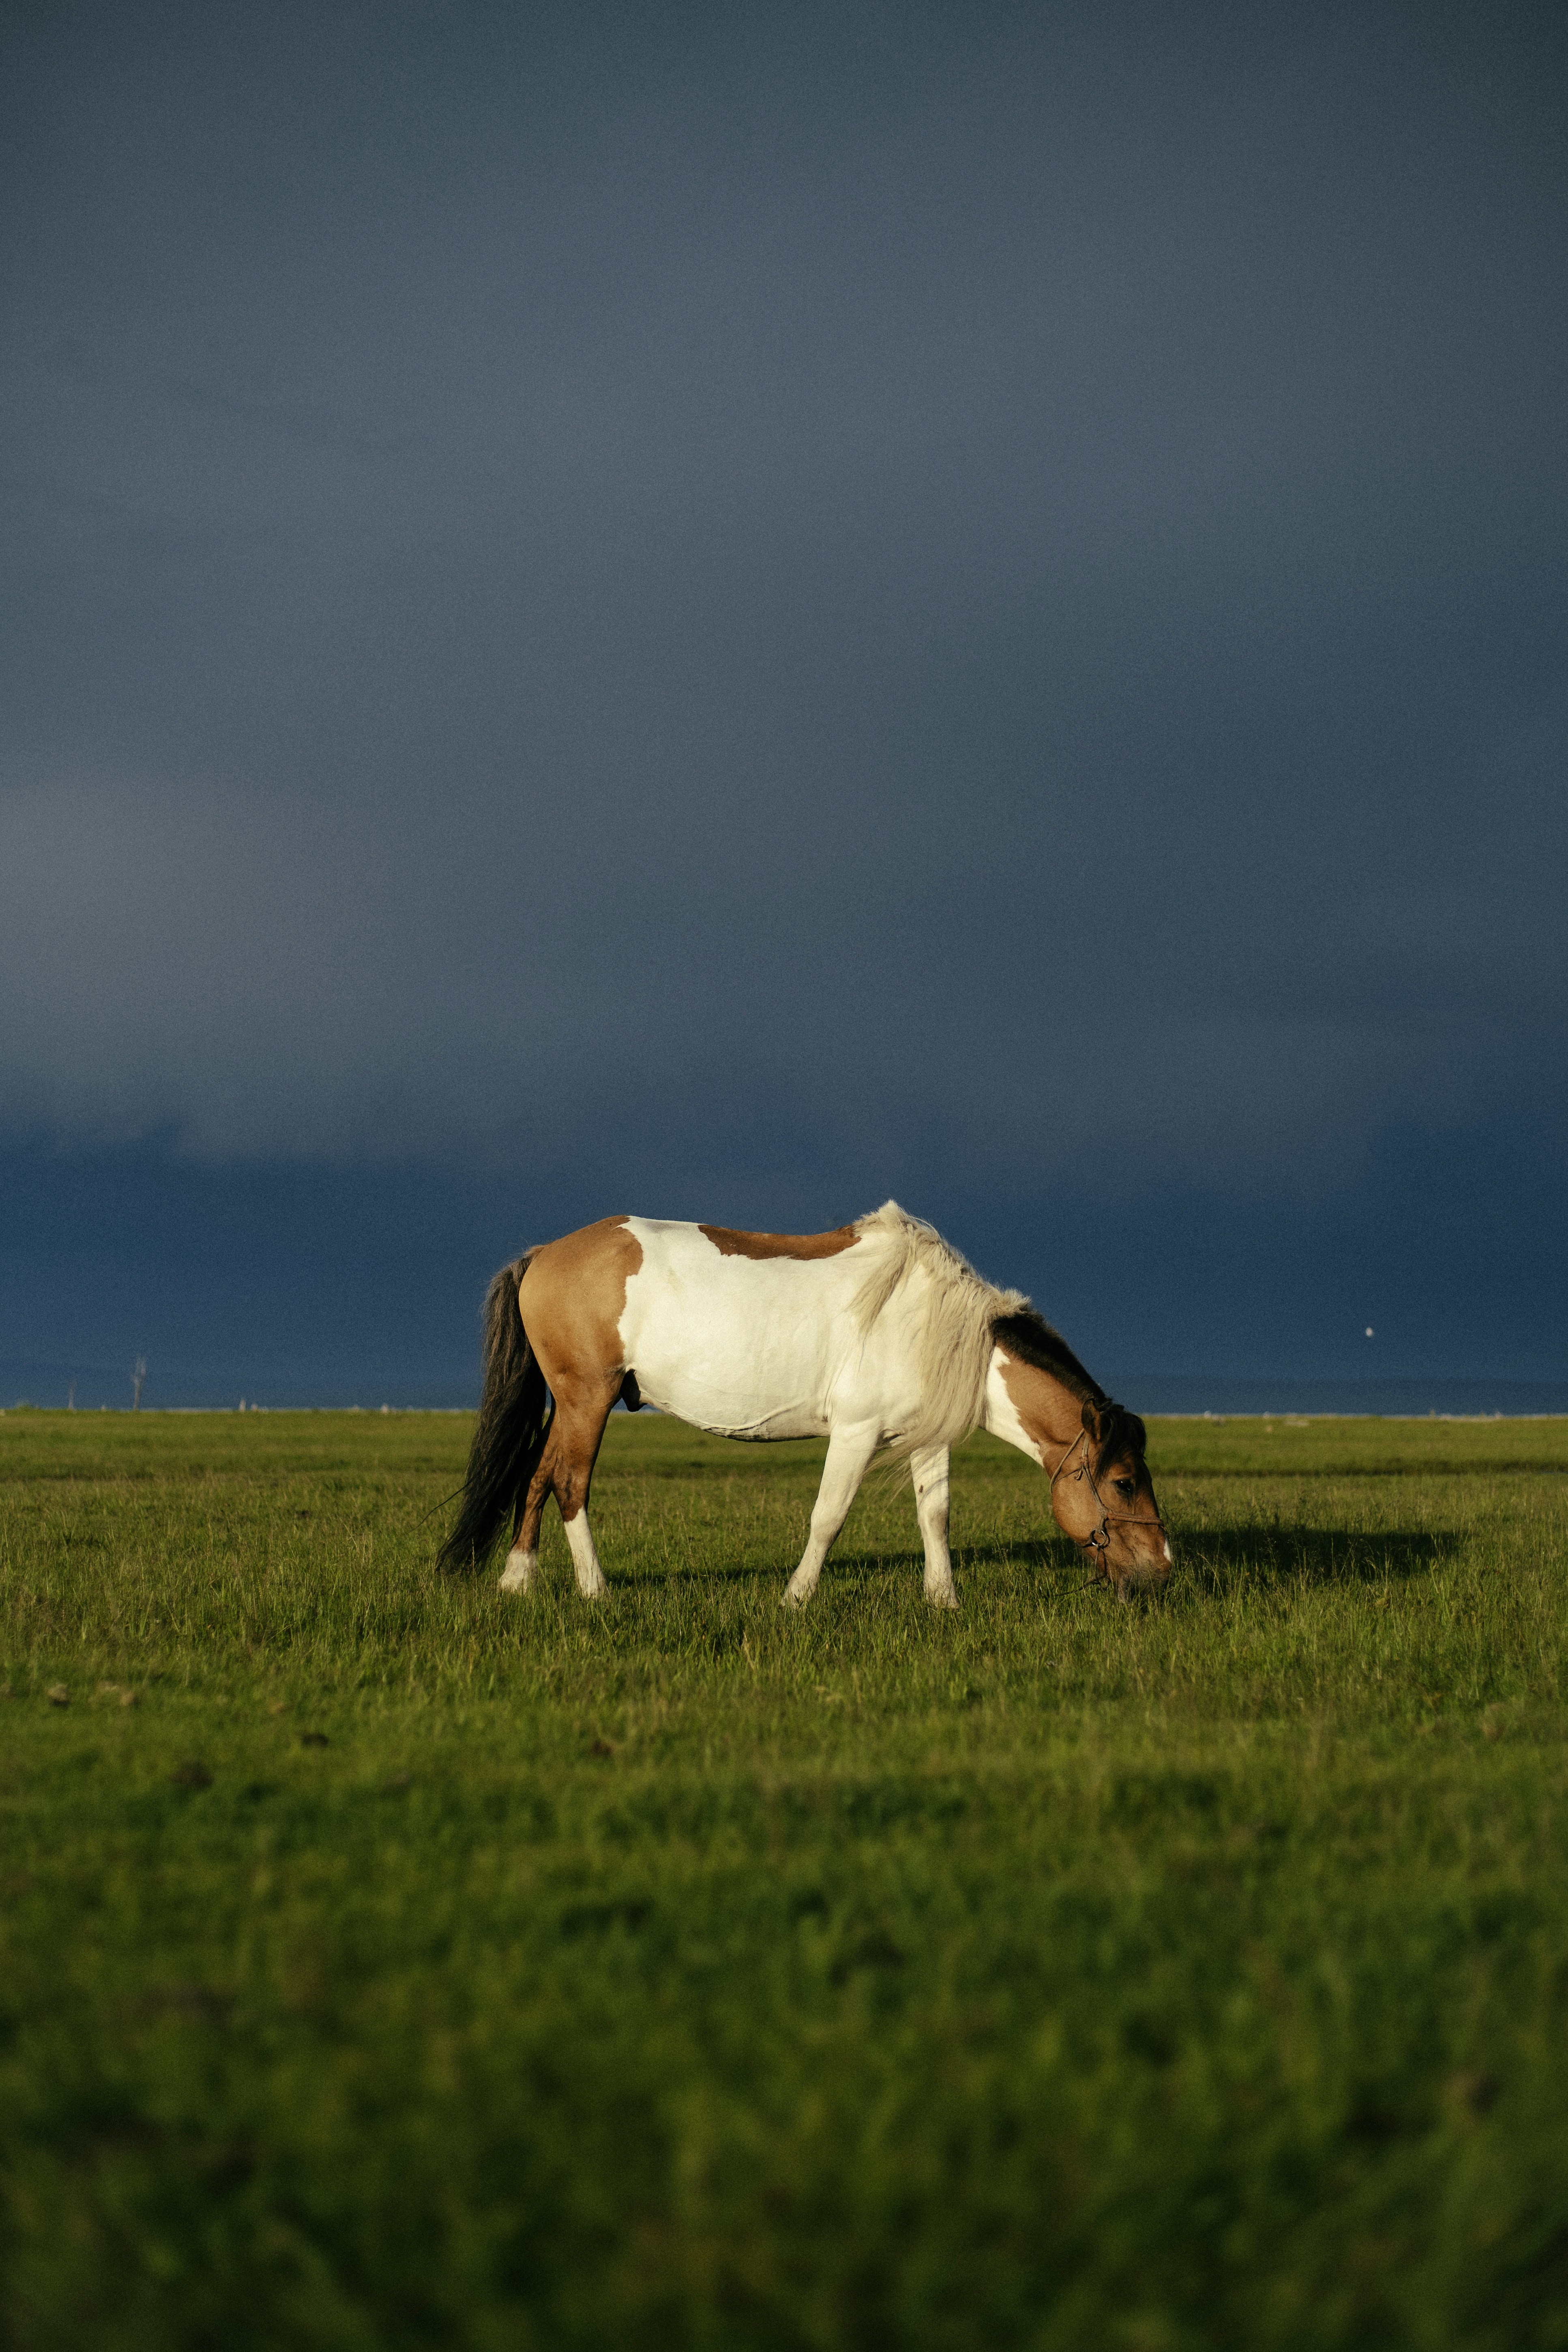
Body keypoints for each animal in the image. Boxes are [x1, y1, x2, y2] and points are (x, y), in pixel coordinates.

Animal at [439, 1201, 1171, 1606]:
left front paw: (944, 1601)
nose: (1161, 1572)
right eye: (1121, 1482)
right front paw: (796, 1599)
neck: (934, 1324)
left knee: (537, 1477)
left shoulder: (928, 1441)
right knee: (569, 1483)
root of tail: (542, 1254)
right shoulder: (855, 1435)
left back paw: (517, 1581)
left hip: (568, 1406)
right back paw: (596, 1591)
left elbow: (934, 1519)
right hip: (587, 1400)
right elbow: (828, 1519)